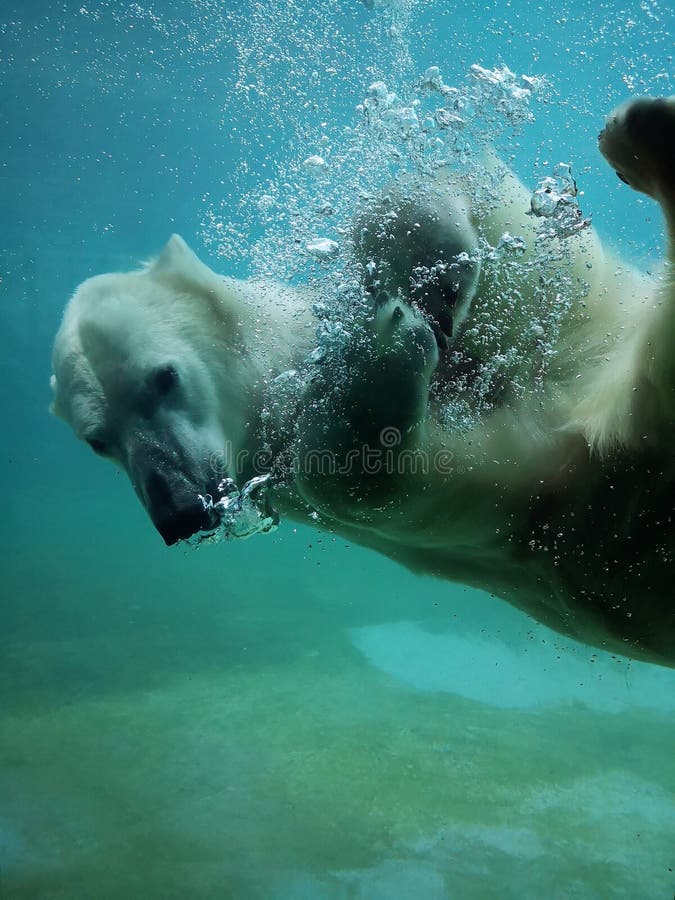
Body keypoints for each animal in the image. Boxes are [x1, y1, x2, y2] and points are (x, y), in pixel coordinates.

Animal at [51, 96, 675, 667]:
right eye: (97, 439)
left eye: (163, 378)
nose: (179, 513)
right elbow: (366, 476)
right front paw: (390, 342)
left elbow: (528, 258)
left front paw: (427, 287)